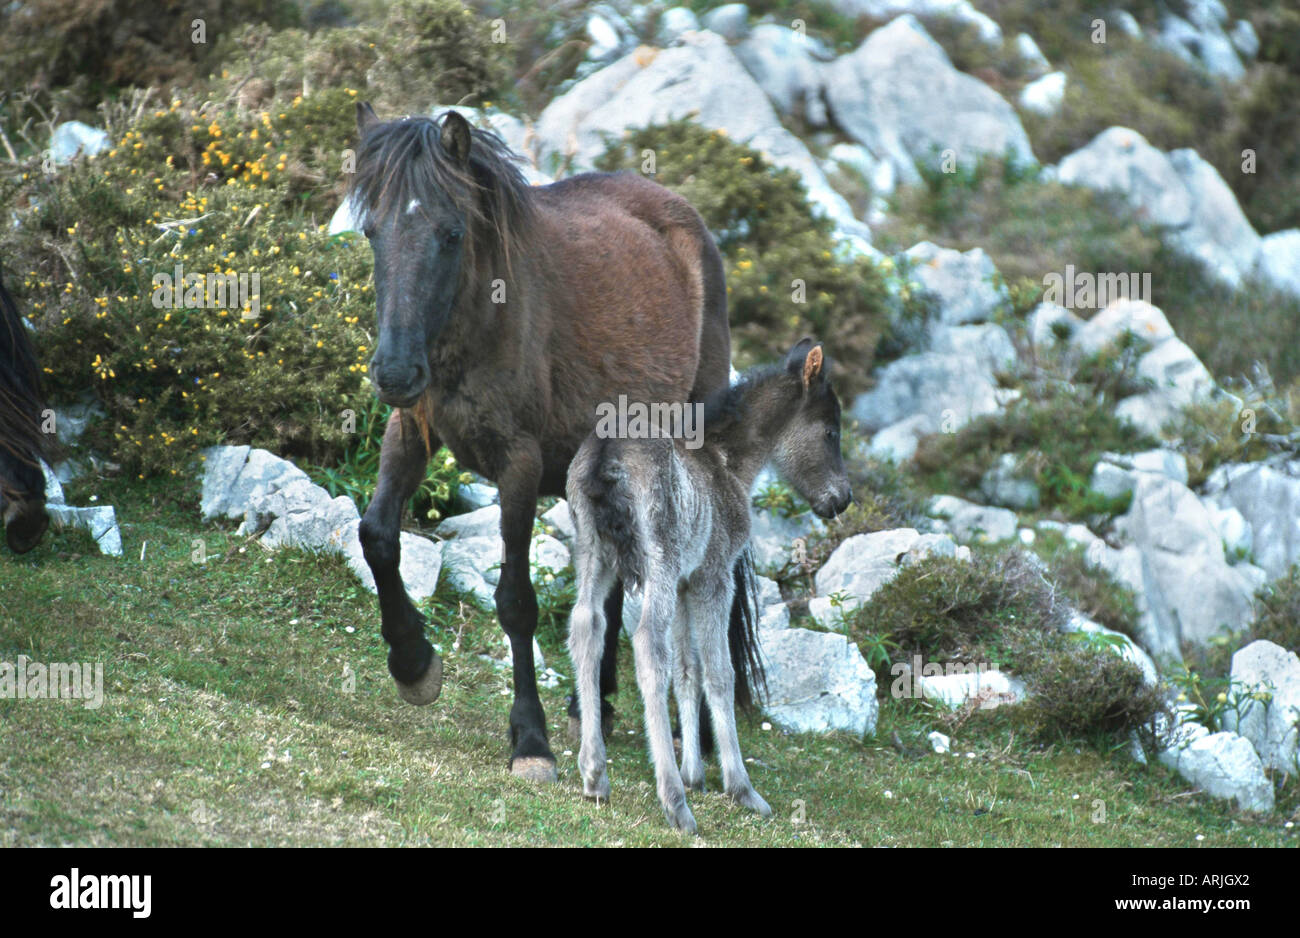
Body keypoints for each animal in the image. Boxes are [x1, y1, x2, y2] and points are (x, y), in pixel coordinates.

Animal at [348, 104, 764, 781]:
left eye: (451, 234)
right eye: (371, 232)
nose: (395, 372)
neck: (484, 318)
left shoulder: (519, 464)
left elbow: (516, 600)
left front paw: (529, 741)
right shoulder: (411, 431)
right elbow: (377, 536)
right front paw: (413, 664)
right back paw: (595, 700)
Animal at [565, 339, 852, 832]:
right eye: (830, 431)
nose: (843, 497)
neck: (729, 463)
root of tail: (605, 456)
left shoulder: (687, 581)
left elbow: (688, 670)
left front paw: (695, 773)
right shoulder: (714, 576)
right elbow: (720, 673)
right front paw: (740, 787)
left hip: (593, 551)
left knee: (587, 625)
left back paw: (595, 775)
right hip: (658, 559)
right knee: (647, 644)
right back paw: (674, 802)